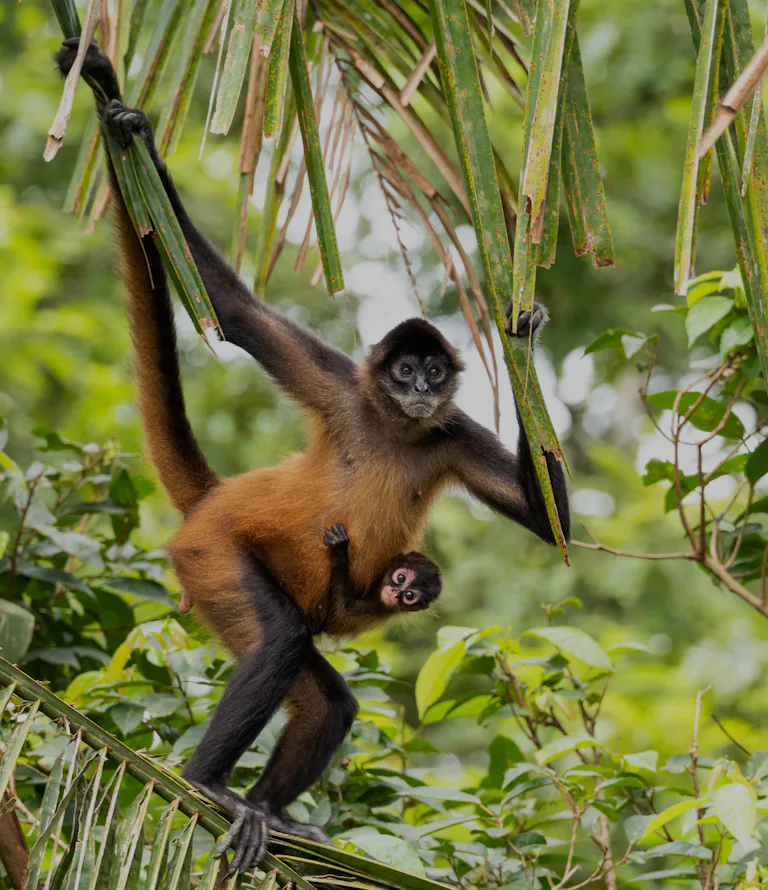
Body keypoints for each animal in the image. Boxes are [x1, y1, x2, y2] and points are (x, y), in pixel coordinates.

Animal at [56, 40, 569, 872]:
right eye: (404, 368)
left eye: (434, 374)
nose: (419, 385)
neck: (396, 428)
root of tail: (215, 496)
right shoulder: (341, 387)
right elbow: (232, 315)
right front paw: (128, 115)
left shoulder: (453, 431)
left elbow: (546, 520)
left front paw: (523, 335)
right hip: (214, 555)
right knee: (281, 642)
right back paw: (207, 783)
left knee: (328, 697)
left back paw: (270, 809)